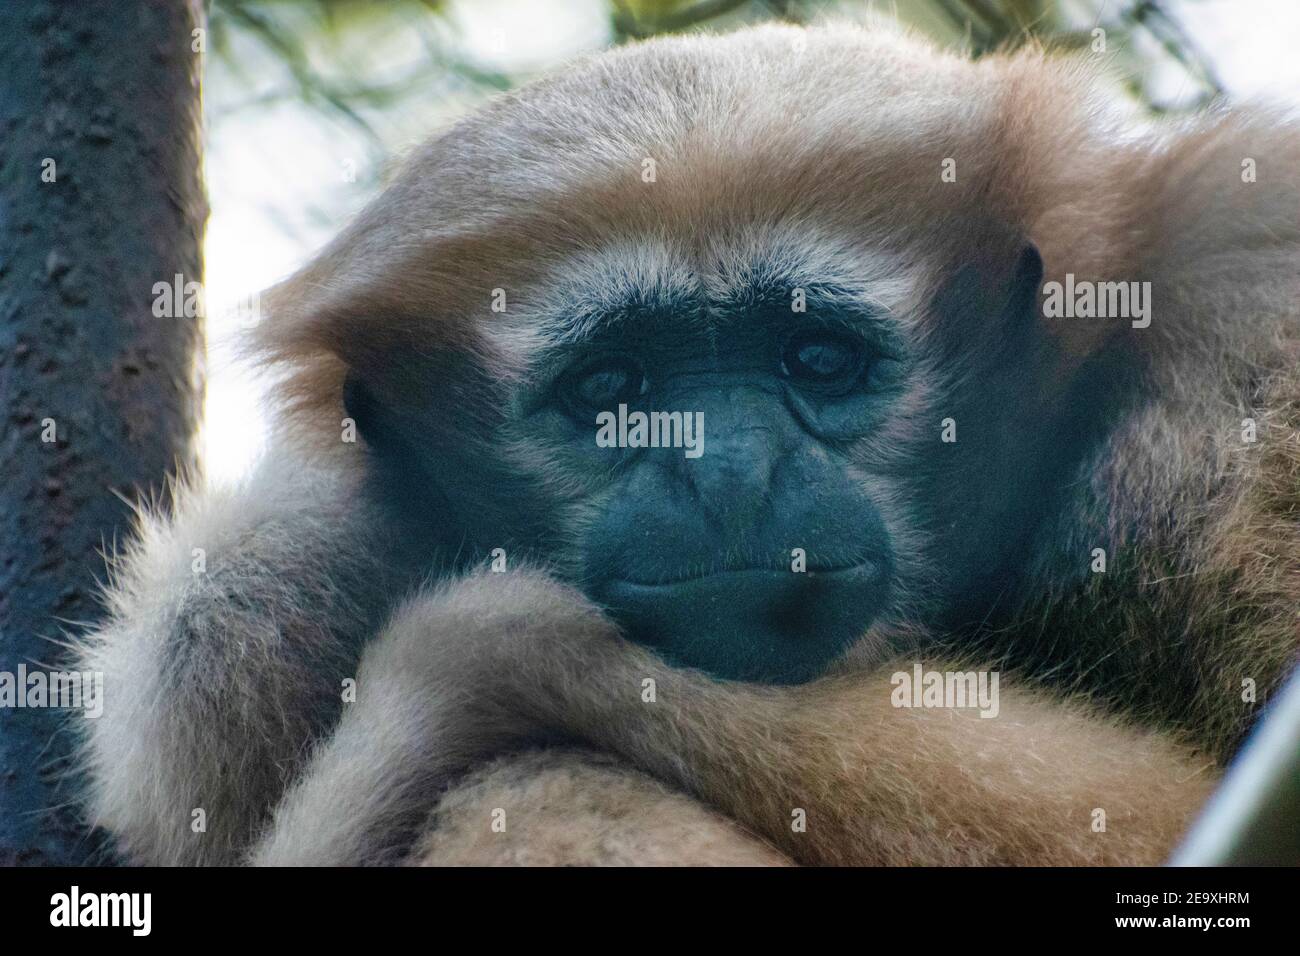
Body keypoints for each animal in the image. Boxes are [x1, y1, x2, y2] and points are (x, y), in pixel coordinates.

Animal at [72, 22, 1299, 867]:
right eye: (612, 388)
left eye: (818, 358)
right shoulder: (238, 624)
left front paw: (478, 647)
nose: (730, 471)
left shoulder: (1236, 335)